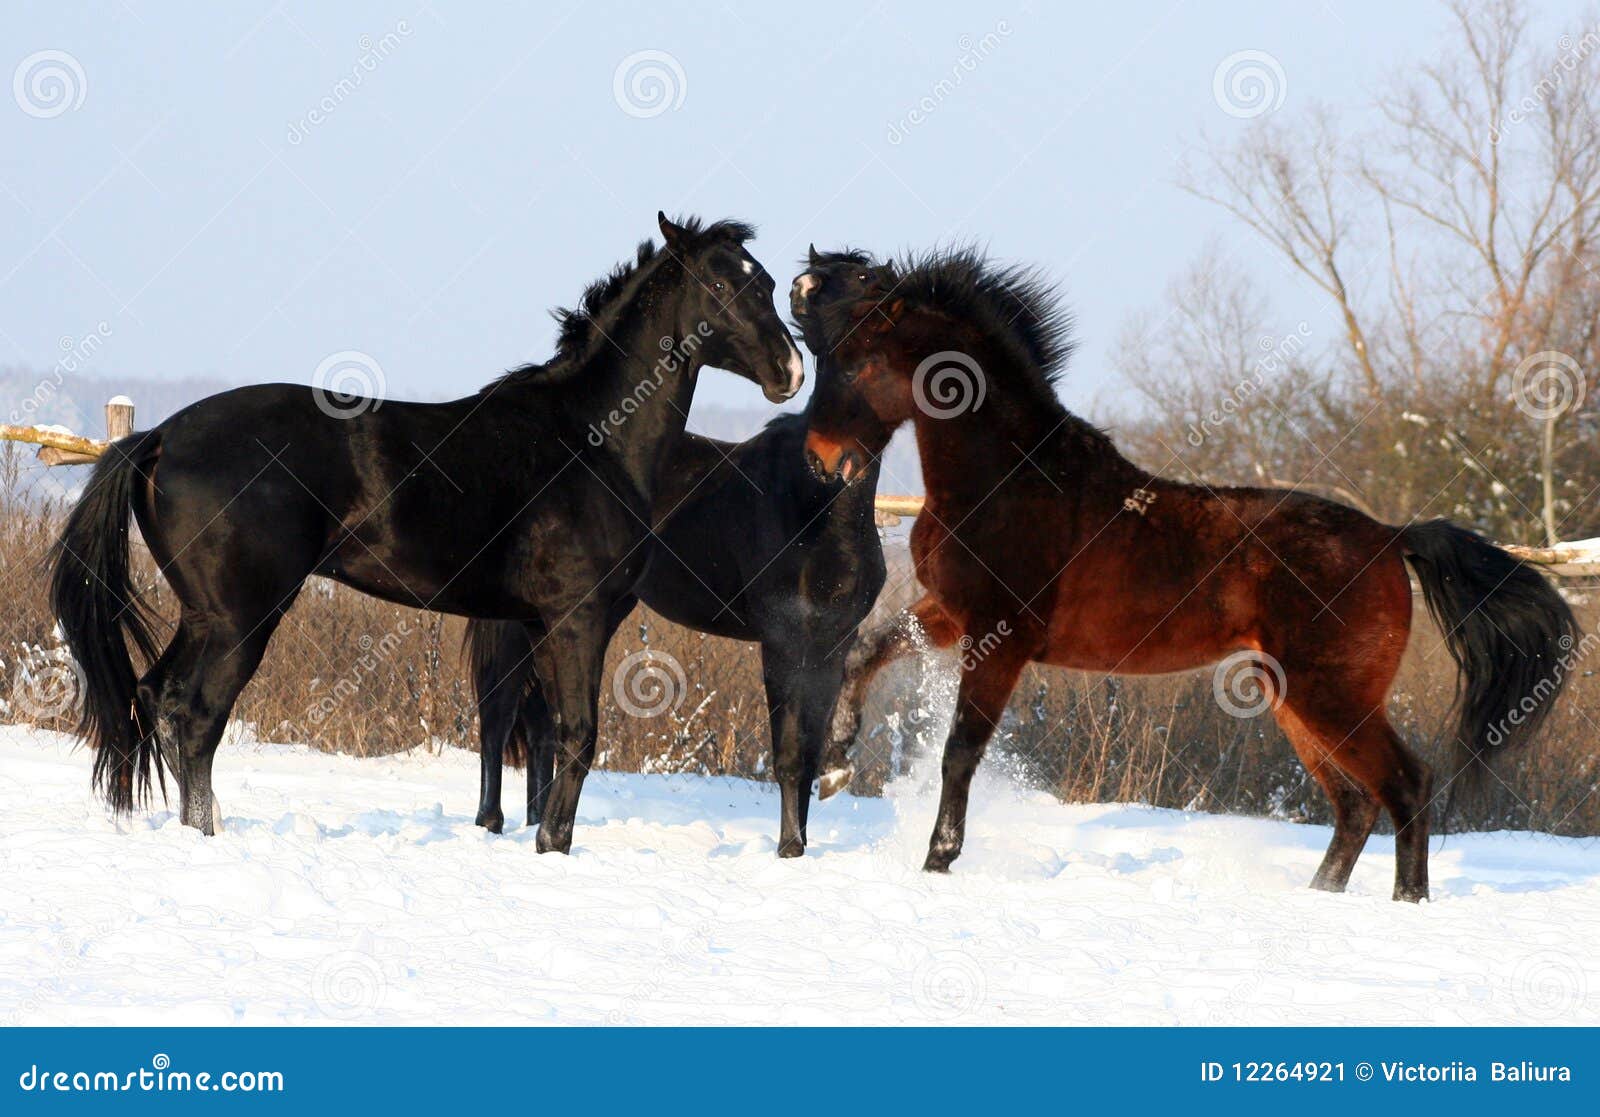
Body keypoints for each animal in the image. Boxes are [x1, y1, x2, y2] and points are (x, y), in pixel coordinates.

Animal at [51, 213, 803, 852]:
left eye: (766, 281)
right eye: (719, 282)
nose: (789, 372)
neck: (594, 438)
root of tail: (157, 438)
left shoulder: (537, 624)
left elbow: (541, 735)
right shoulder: (579, 618)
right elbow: (577, 736)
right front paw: (554, 846)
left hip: (204, 615)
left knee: (159, 699)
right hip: (240, 618)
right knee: (197, 714)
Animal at [467, 246, 898, 856]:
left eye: (866, 276)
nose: (802, 288)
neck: (821, 502)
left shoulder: (832, 644)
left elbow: (813, 755)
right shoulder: (782, 641)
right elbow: (789, 754)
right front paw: (788, 851)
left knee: (543, 722)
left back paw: (533, 822)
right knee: (498, 711)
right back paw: (492, 821)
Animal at [800, 248, 1578, 902]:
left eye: (858, 359)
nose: (819, 457)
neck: (1010, 481)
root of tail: (1390, 538)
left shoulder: (1000, 637)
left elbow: (960, 750)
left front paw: (937, 860)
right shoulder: (950, 613)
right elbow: (868, 649)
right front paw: (835, 764)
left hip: (1333, 695)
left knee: (1407, 786)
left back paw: (1405, 905)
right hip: (1294, 697)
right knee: (1356, 803)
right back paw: (1319, 898)